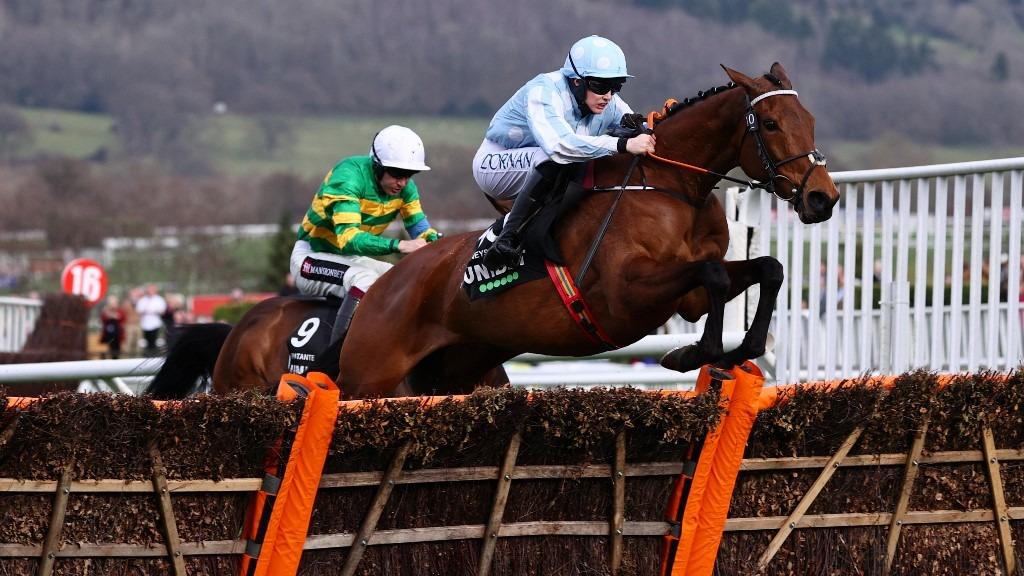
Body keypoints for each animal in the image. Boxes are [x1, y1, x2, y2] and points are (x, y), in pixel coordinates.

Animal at [147, 62, 838, 400]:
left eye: (809, 117)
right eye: (769, 124)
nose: (822, 198)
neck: (669, 186)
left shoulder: (684, 293)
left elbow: (760, 269)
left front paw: (741, 348)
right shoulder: (624, 297)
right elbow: (717, 273)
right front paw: (695, 352)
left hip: (452, 373)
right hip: (368, 375)